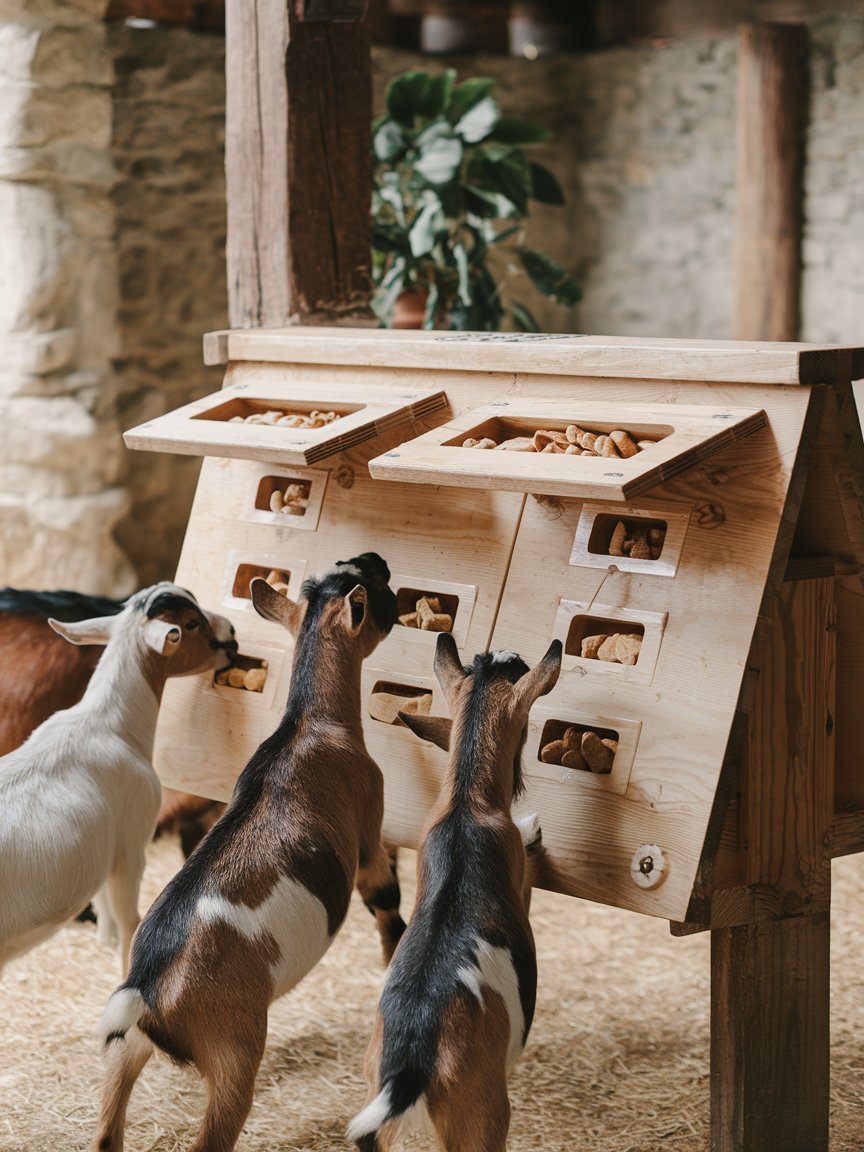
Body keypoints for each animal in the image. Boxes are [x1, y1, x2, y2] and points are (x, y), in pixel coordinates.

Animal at [0, 583, 237, 976]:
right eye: (191, 623)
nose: (232, 633)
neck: (107, 721)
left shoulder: (101, 844)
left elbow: (102, 895)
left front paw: (104, 935)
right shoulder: (132, 844)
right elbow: (132, 921)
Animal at [91, 553, 407, 1152]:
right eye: (369, 585)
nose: (381, 561)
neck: (310, 723)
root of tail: (146, 988)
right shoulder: (370, 821)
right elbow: (385, 898)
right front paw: (394, 958)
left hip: (125, 1048)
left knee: (106, 1131)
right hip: (233, 1051)